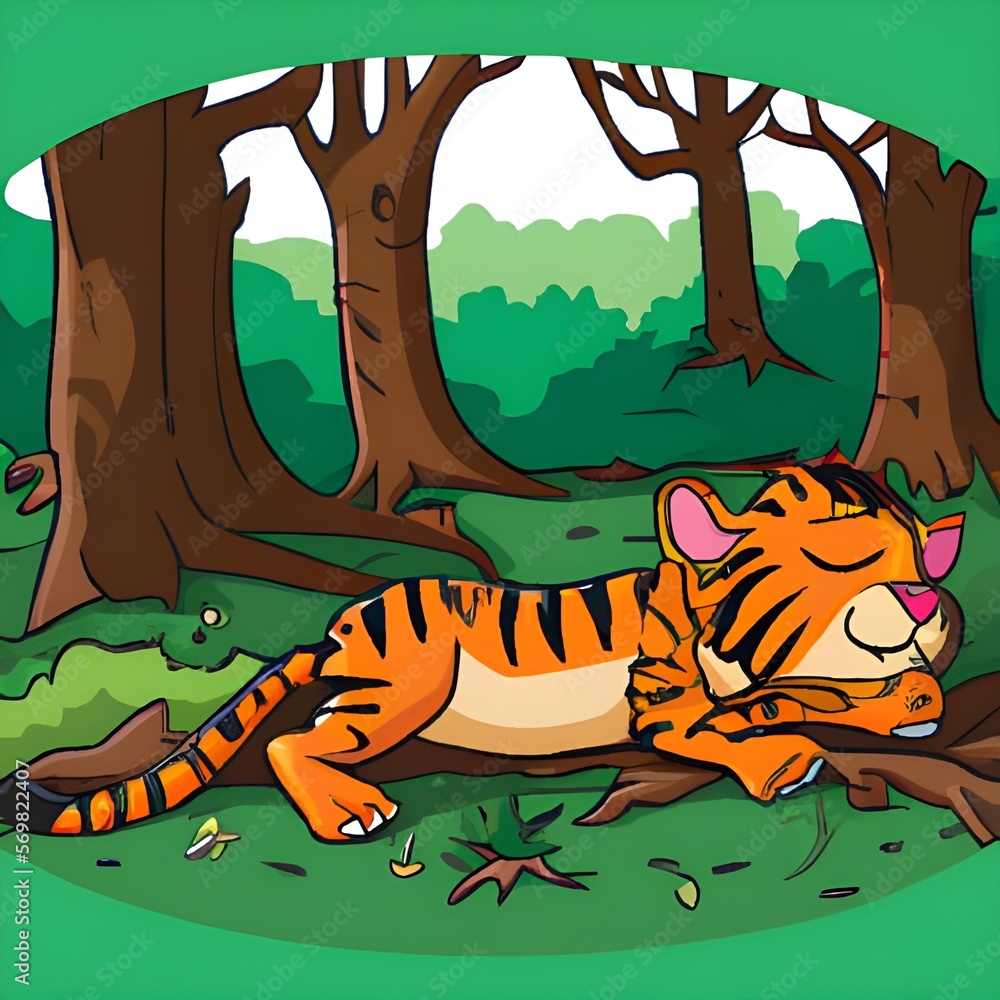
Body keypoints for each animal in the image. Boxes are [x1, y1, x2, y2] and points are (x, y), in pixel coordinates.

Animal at [3, 461, 965, 843]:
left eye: (923, 552)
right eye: (838, 558)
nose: (929, 599)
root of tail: (345, 621)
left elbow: (812, 694)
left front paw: (908, 701)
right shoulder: (667, 703)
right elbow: (726, 730)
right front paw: (784, 760)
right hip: (403, 688)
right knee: (288, 743)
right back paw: (349, 811)